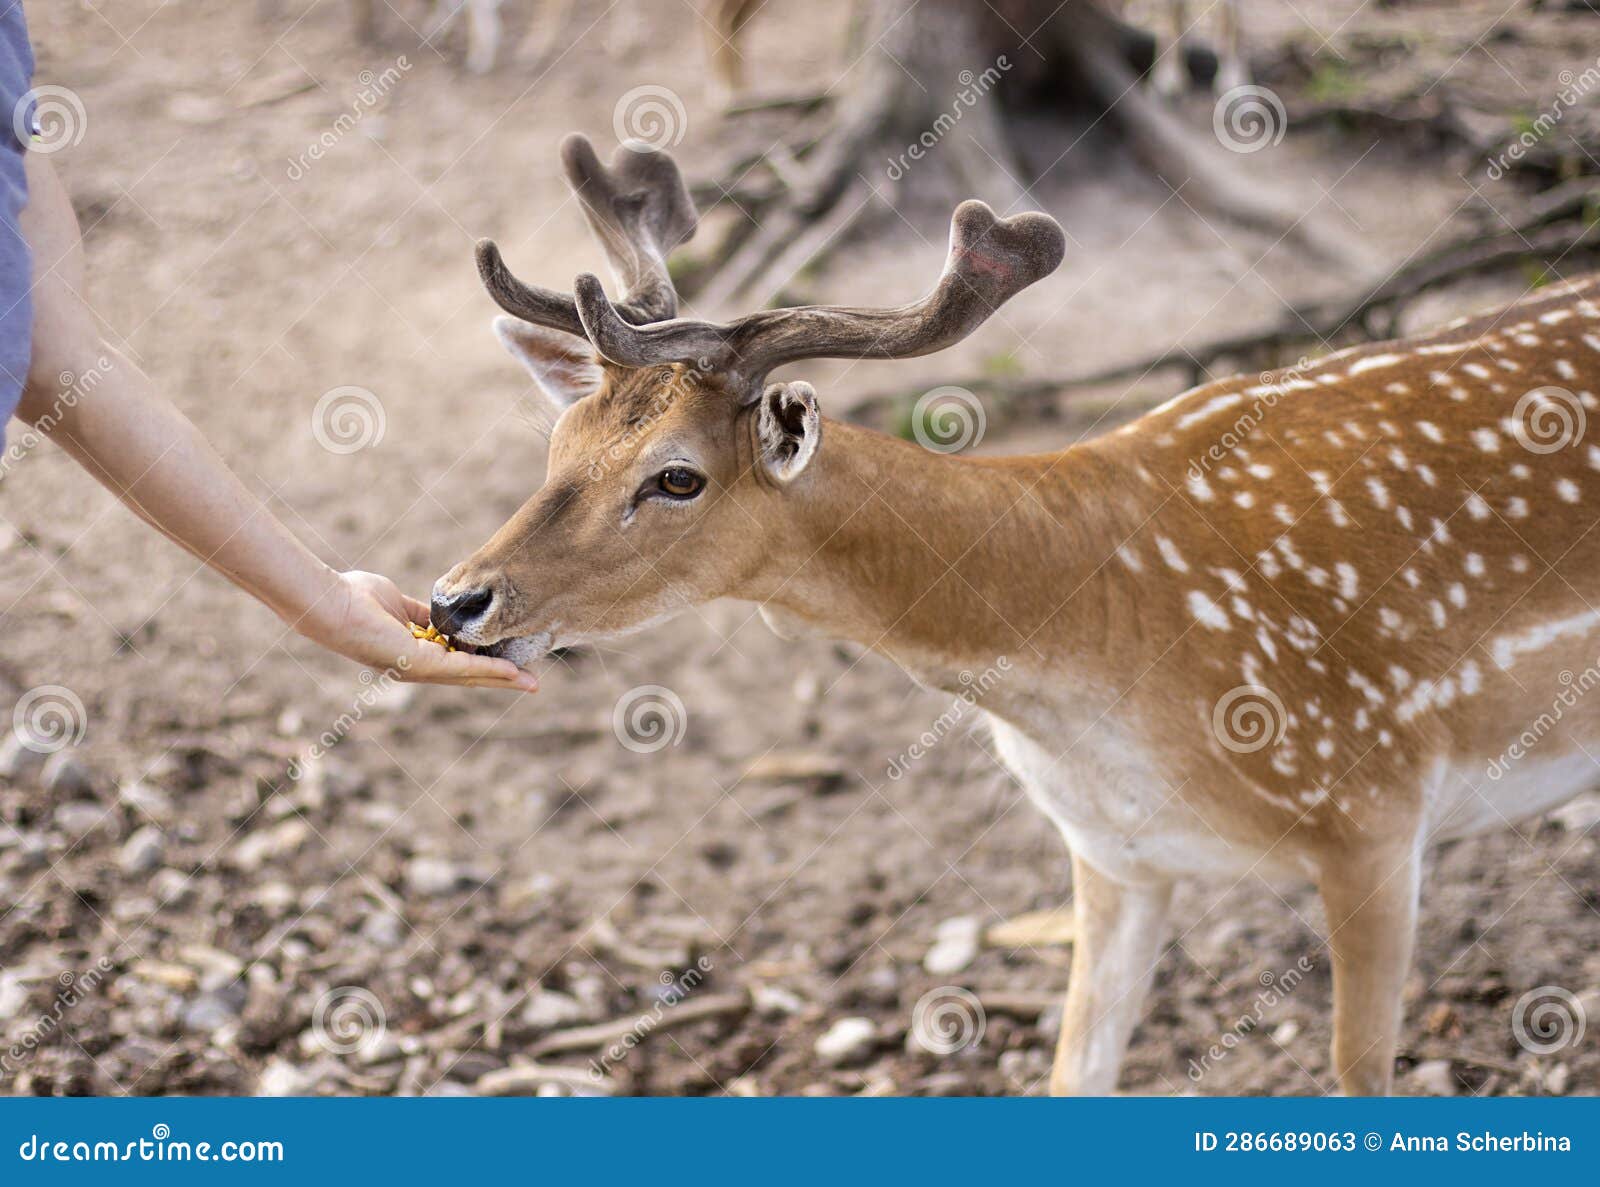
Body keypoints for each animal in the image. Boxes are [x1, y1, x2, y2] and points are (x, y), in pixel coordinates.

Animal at [432, 132, 1600, 1094]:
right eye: (561, 441)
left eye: (676, 477)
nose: (456, 598)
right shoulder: (1112, 851)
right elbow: (1075, 1070)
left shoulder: (1376, 807)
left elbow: (1360, 1073)